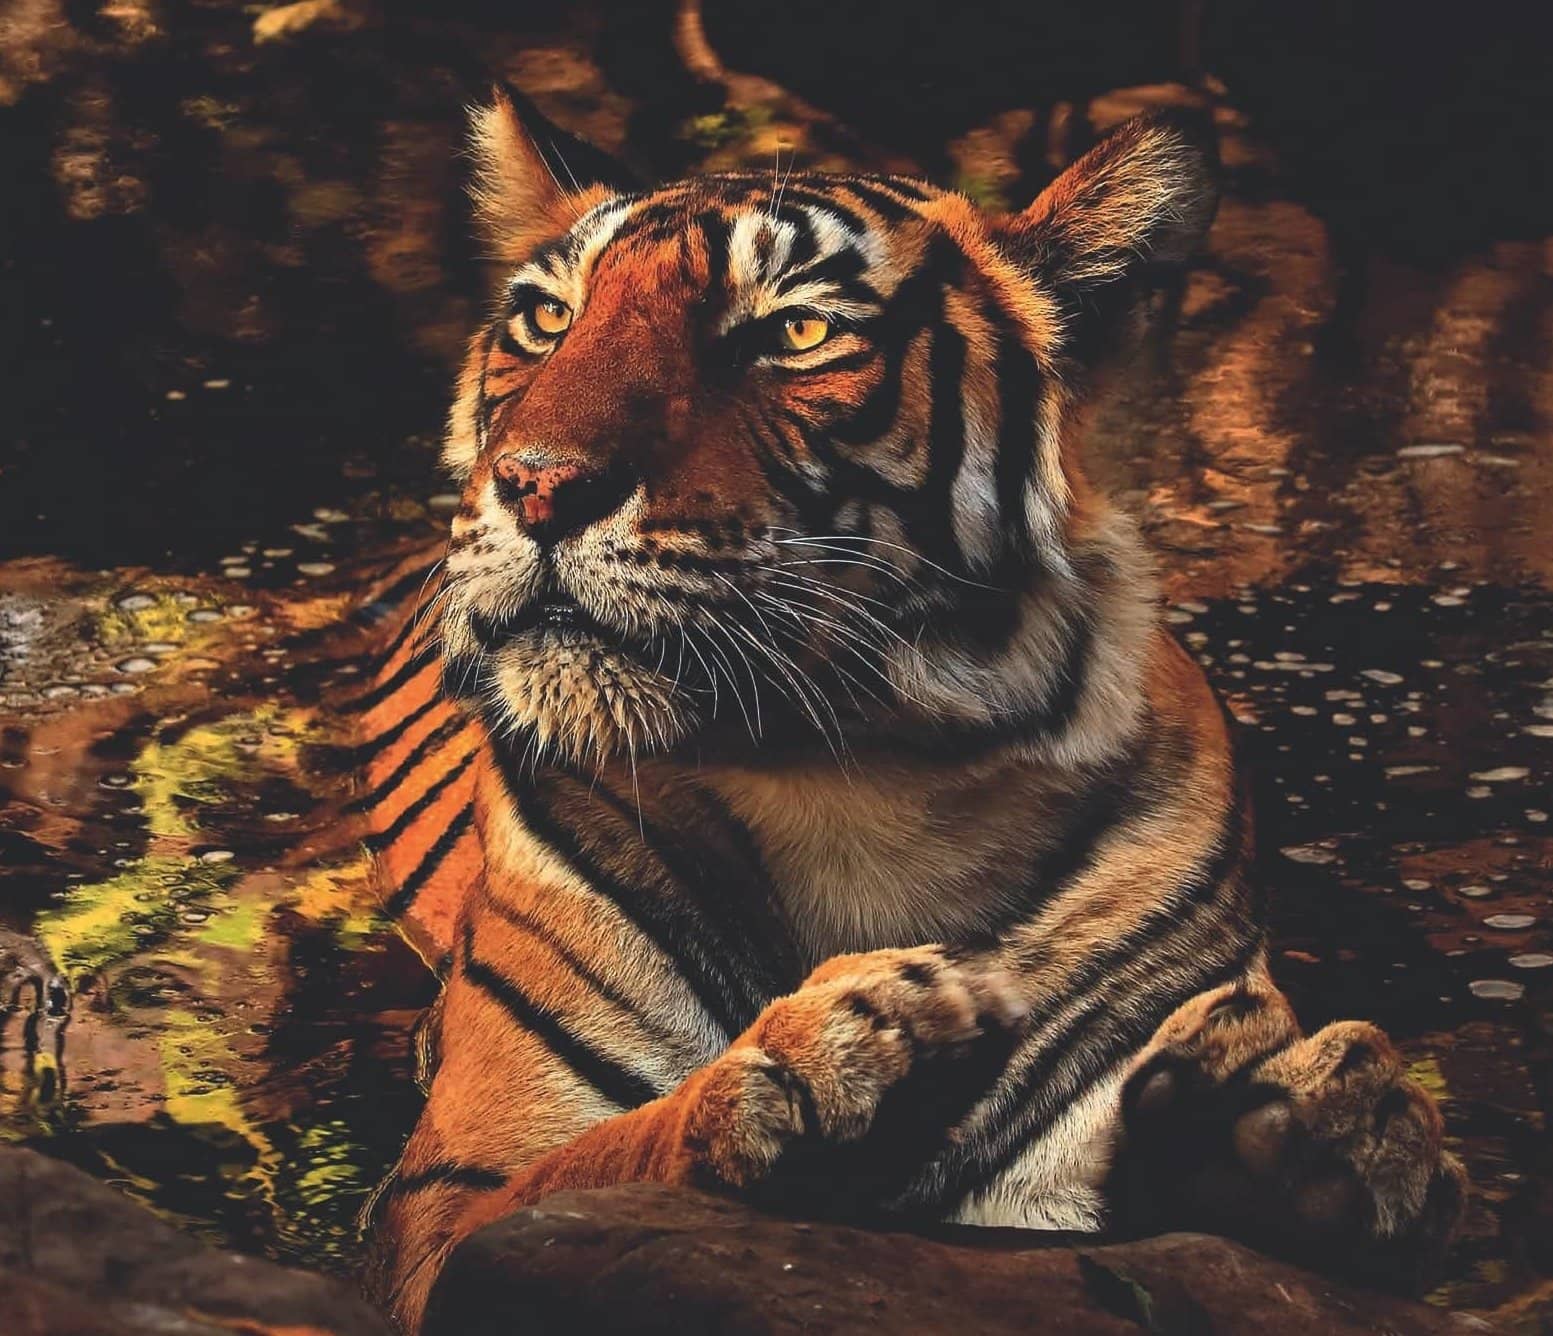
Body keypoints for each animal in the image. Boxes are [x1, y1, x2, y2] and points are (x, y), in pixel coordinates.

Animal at [353, 85, 1466, 1332]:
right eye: (547, 319)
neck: (861, 784)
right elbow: (594, 1169)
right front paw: (829, 1059)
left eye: (795, 332)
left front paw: (1308, 1130)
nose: (536, 483)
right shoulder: (451, 1201)